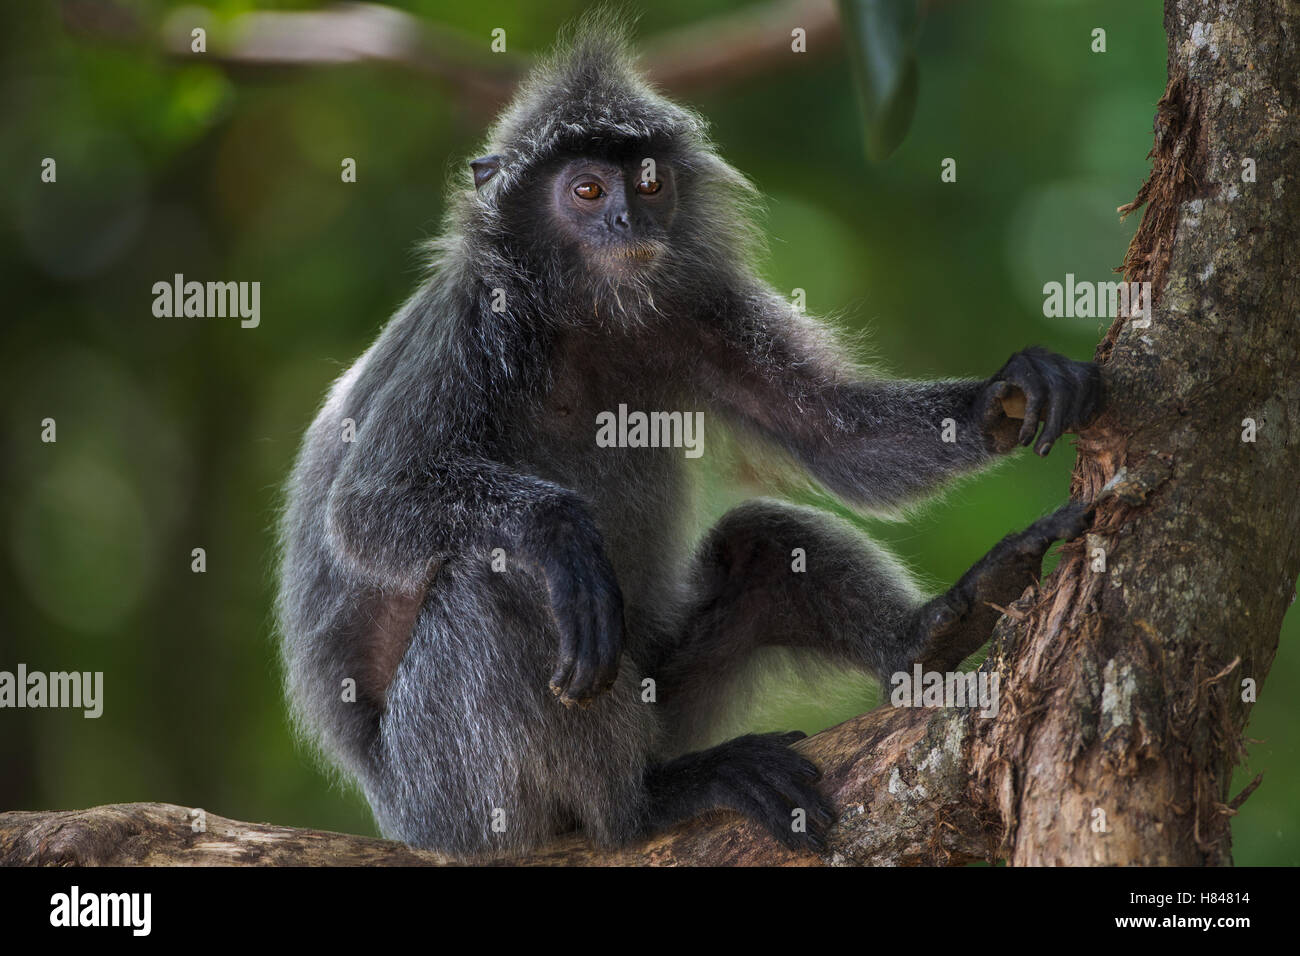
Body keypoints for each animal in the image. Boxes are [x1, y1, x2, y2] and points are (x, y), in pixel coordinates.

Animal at [275, 18, 1103, 857]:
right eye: (587, 190)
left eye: (647, 185)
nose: (627, 222)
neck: (587, 316)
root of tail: (392, 809)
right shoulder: (469, 324)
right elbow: (367, 509)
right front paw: (563, 532)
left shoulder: (693, 308)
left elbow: (835, 438)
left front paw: (1008, 396)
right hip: (452, 797)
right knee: (504, 582)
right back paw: (645, 804)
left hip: (664, 695)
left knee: (760, 542)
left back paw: (933, 631)